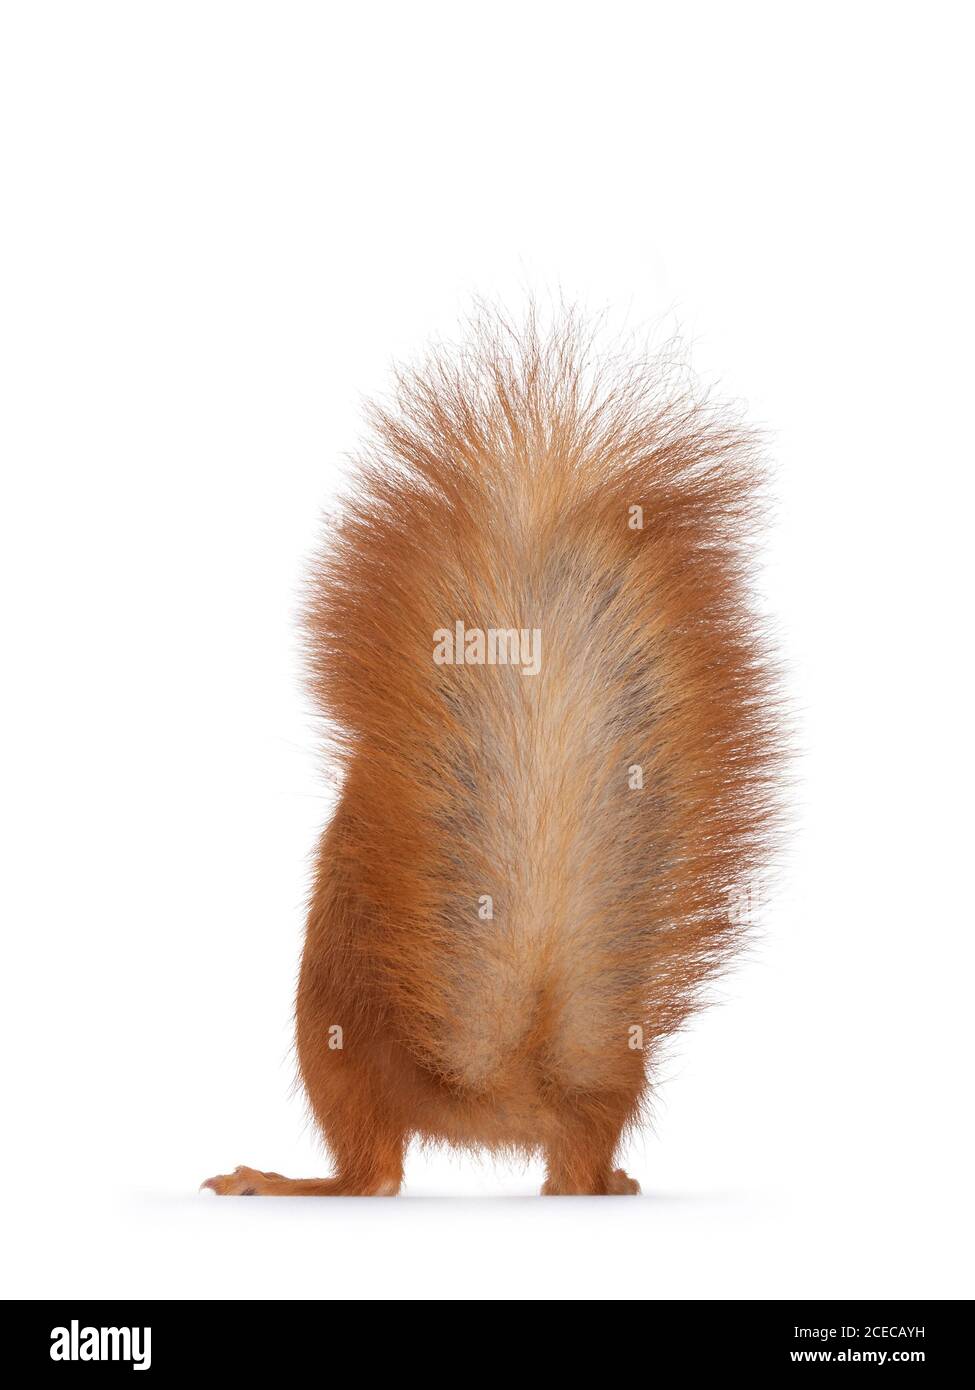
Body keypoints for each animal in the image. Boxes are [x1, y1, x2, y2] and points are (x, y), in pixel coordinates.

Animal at [204, 306, 783, 1197]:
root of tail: (504, 1091)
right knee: (569, 1172)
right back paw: (607, 1181)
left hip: (325, 1034)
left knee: (373, 1175)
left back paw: (282, 1183)